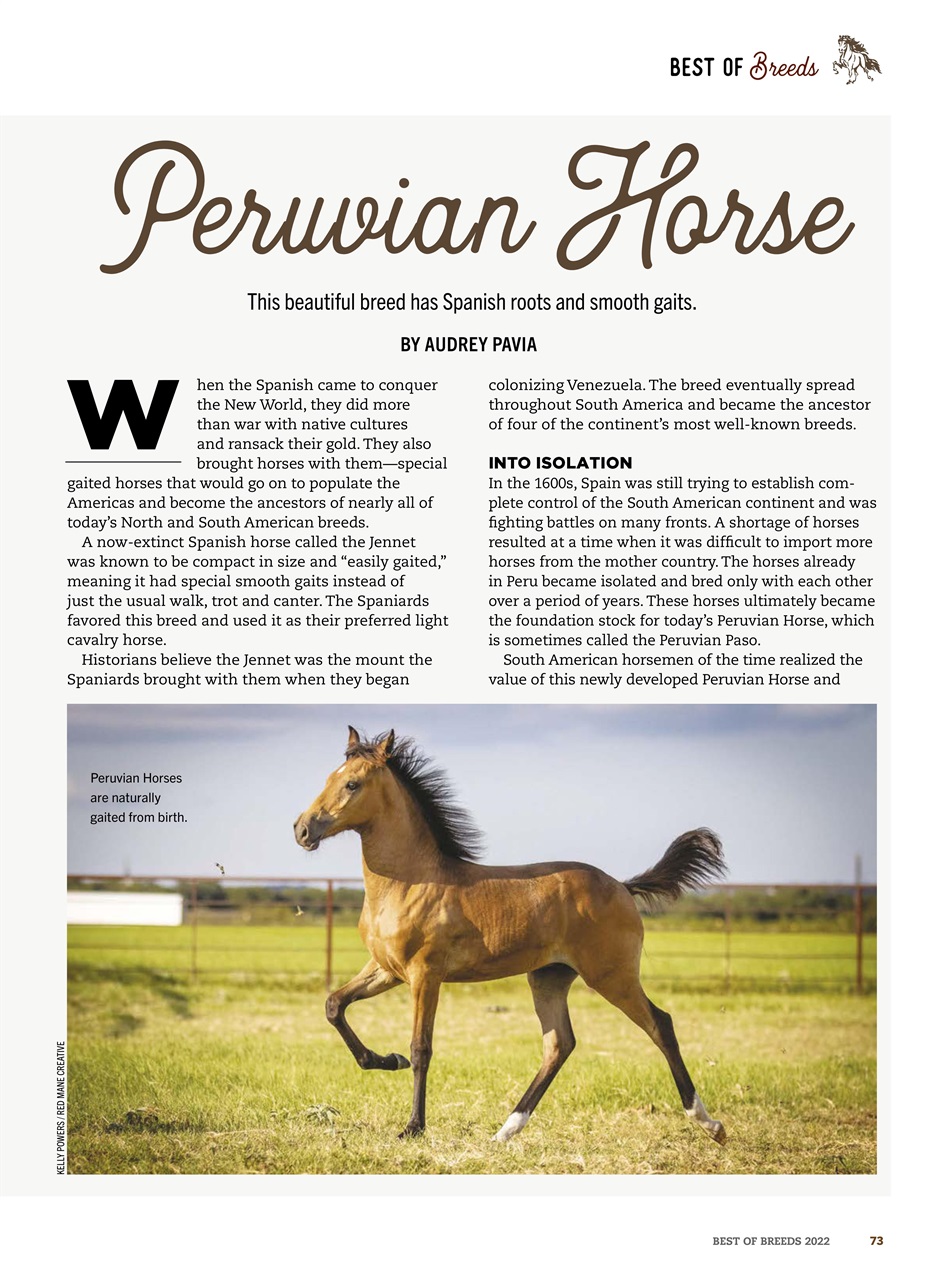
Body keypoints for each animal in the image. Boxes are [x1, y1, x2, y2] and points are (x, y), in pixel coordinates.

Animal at [294, 727, 728, 1145]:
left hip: (612, 977)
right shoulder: (386, 969)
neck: (409, 882)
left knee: (660, 1025)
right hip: (549, 977)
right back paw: (506, 1130)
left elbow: (421, 1048)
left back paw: (709, 1123)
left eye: (352, 784)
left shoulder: (424, 975)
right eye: (329, 777)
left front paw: (413, 1127)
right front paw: (385, 1060)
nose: (302, 828)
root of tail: (622, 886)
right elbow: (334, 1005)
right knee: (559, 1044)